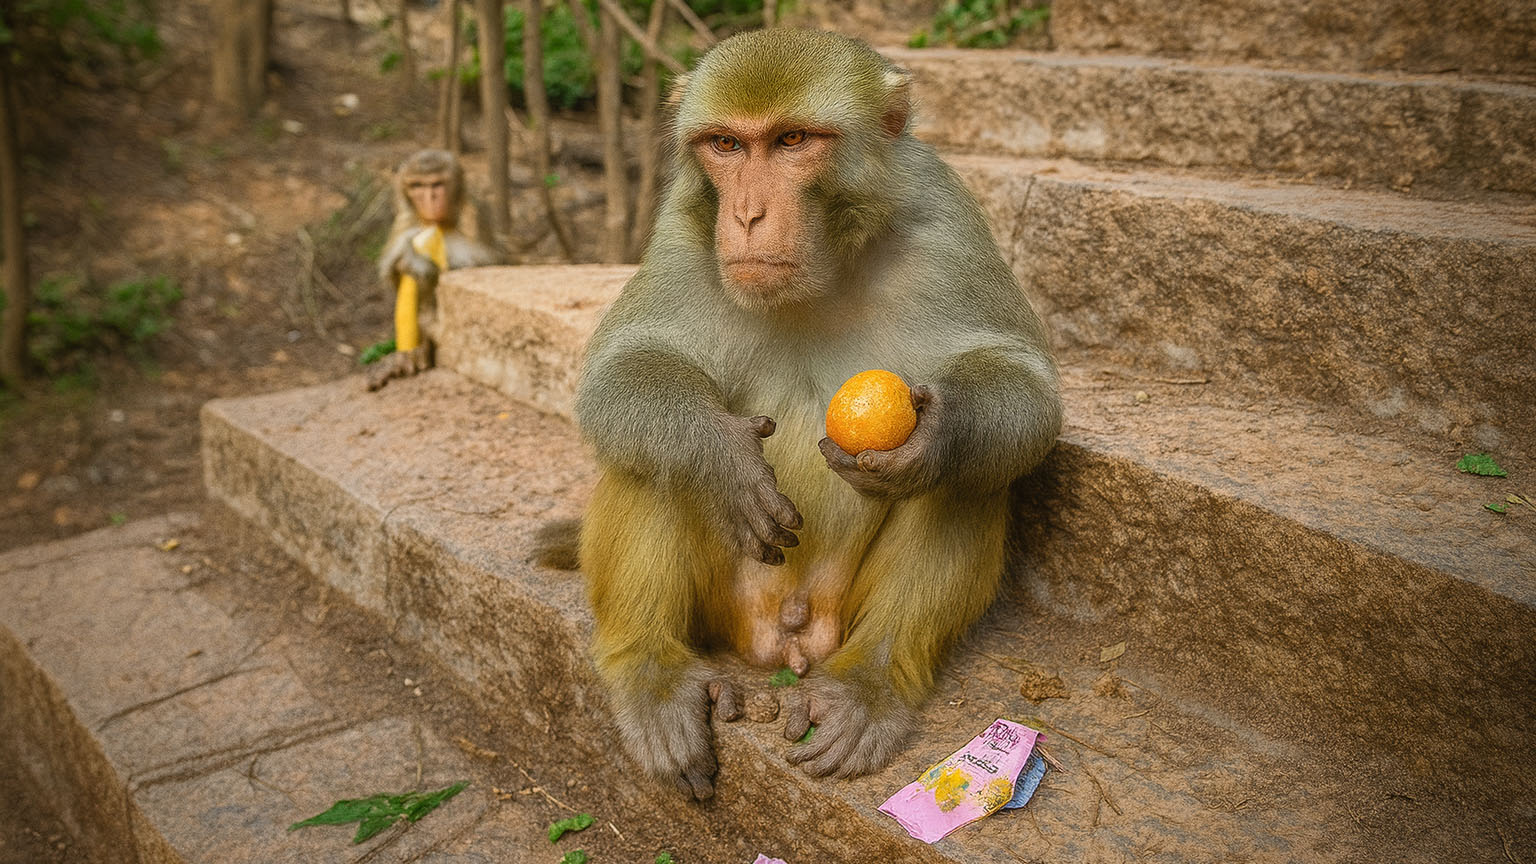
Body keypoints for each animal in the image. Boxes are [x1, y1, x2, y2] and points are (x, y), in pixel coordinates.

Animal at [369, 148, 502, 390]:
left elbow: (491, 262)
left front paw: (418, 261)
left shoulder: (476, 216)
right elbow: (397, 275)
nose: (430, 200)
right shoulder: (405, 220)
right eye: (417, 186)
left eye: (436, 184)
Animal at [573, 30, 1062, 799]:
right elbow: (623, 368)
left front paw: (937, 435)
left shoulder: (944, 214)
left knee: (968, 479)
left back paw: (870, 682)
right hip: (725, 600)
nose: (746, 216)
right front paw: (719, 456)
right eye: (726, 146)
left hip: (837, 609)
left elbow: (1026, 387)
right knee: (645, 457)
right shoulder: (684, 222)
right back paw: (652, 673)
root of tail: (790, 629)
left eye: (793, 140)